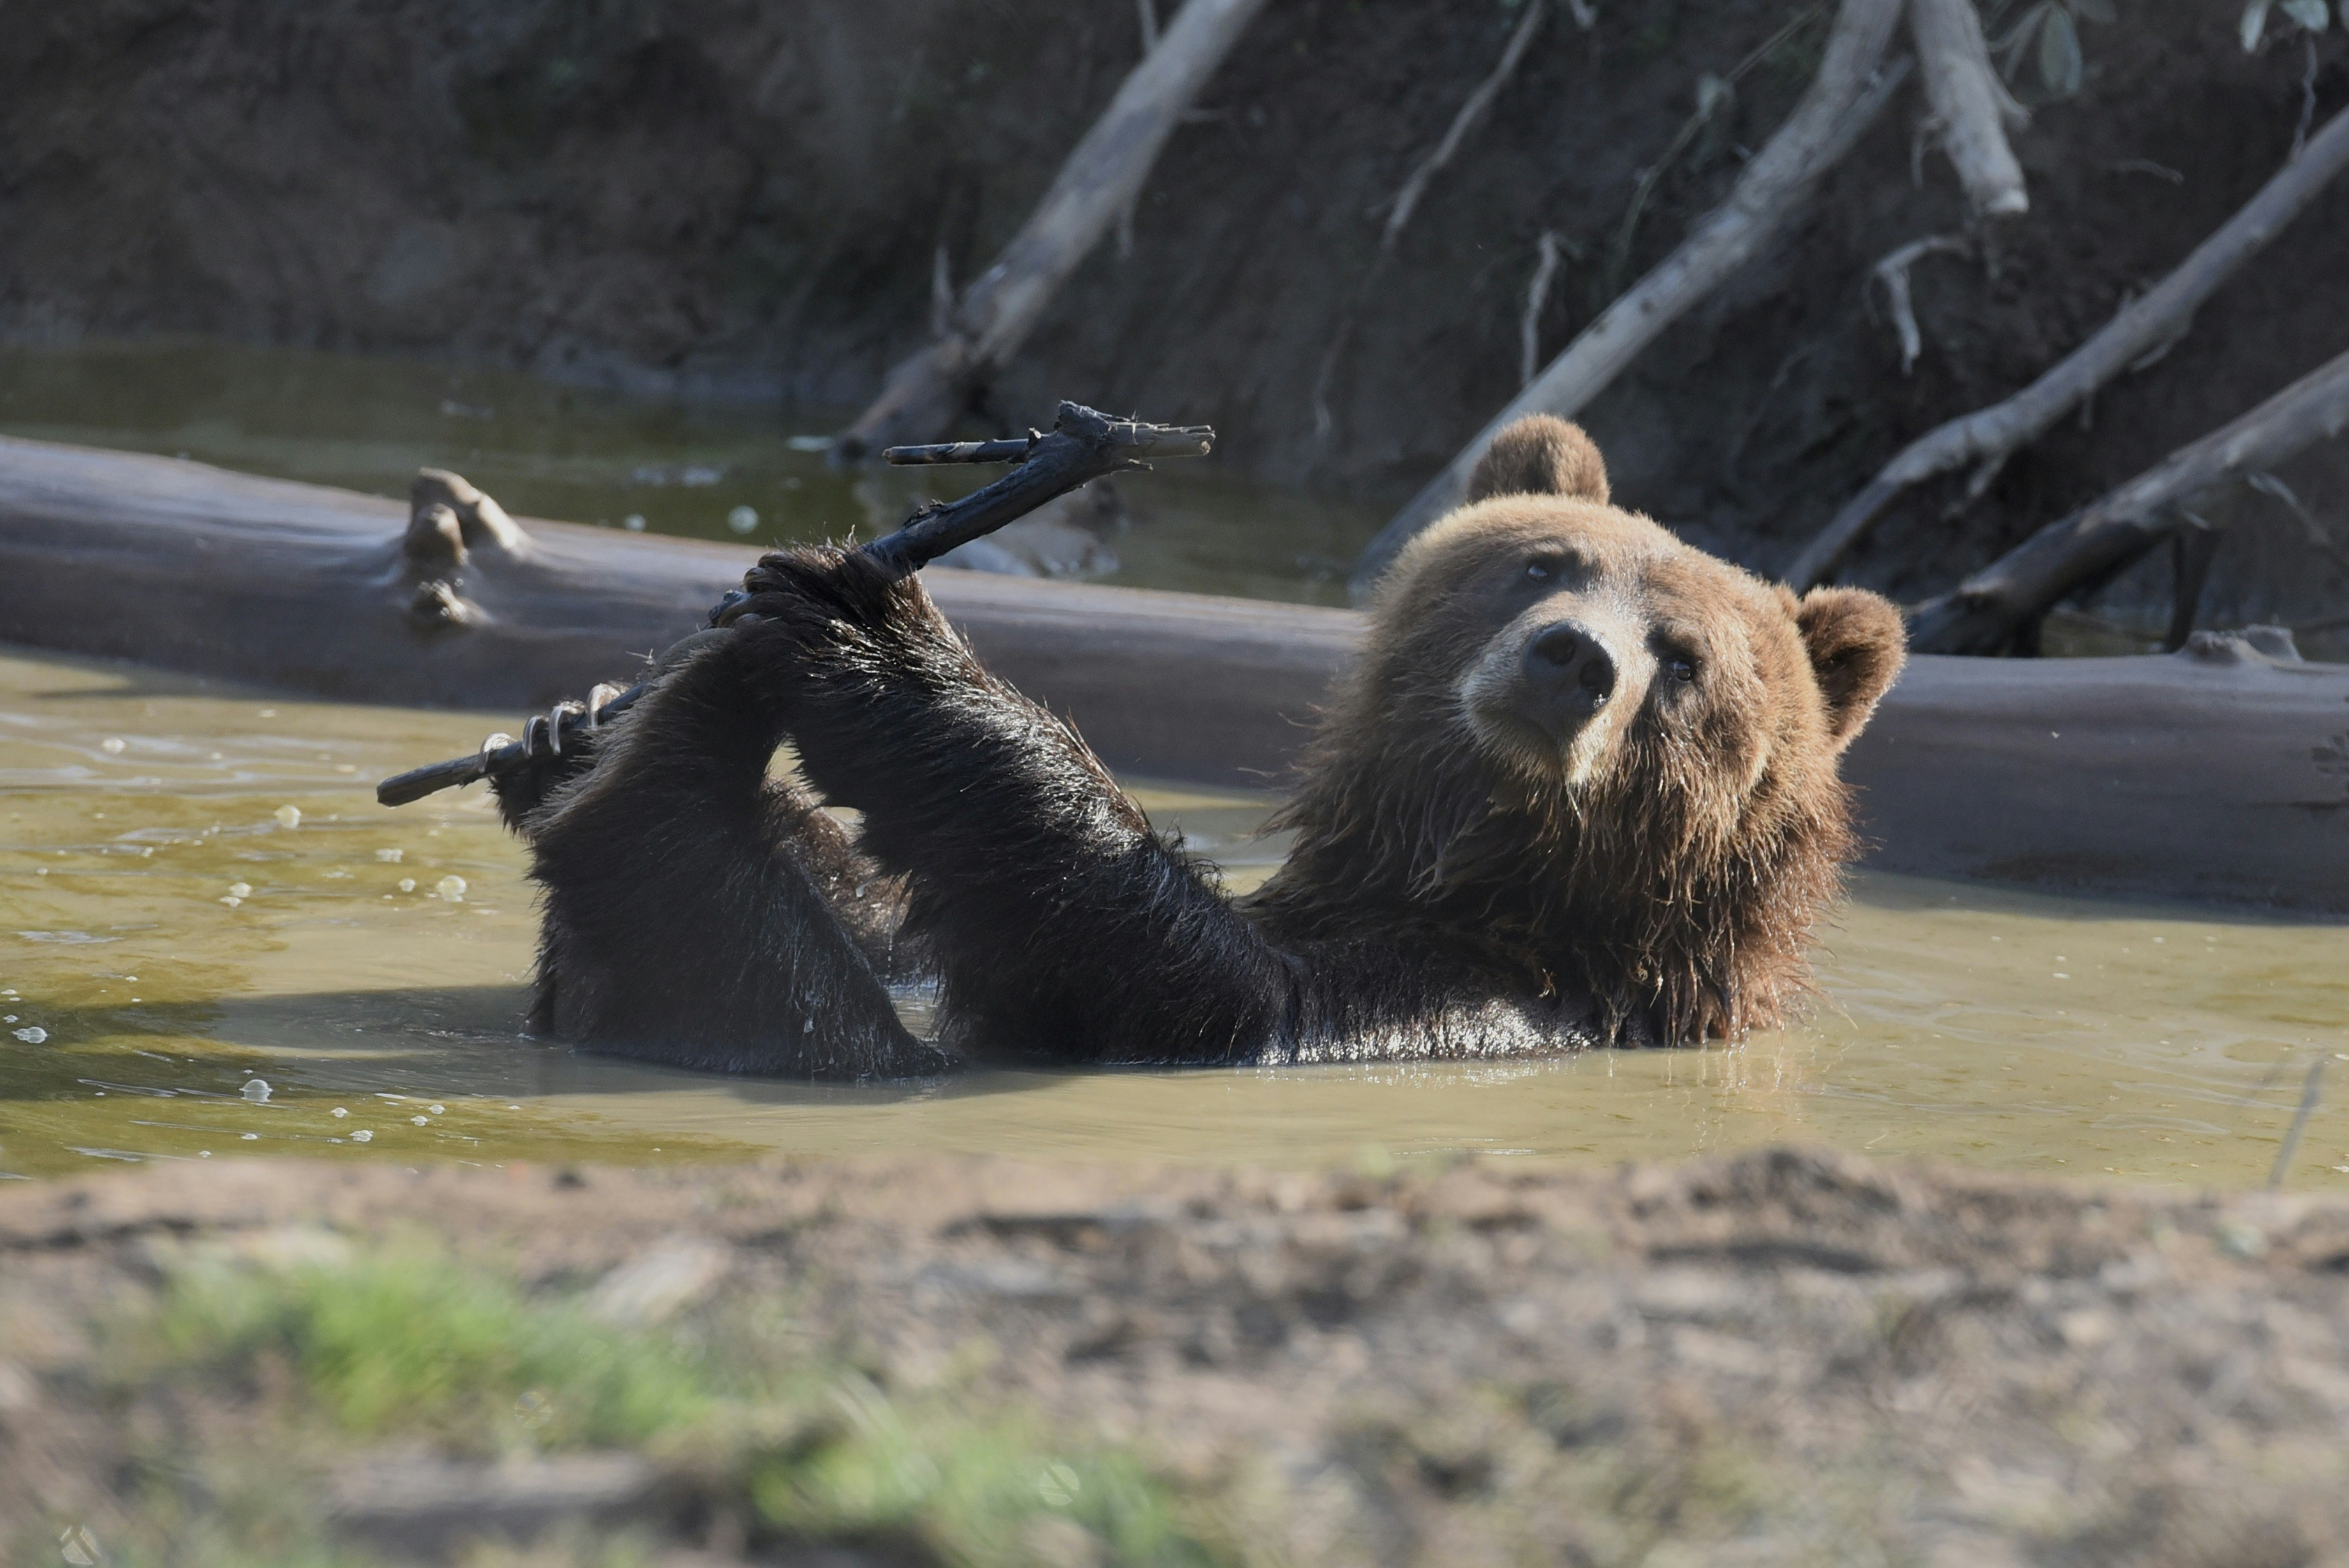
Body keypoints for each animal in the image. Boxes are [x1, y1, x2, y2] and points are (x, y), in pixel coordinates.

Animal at [487, 415, 1906, 1074]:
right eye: (1542, 562)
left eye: (1685, 659)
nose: (1573, 659)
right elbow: (898, 924)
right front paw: (558, 723)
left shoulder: (1500, 997)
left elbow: (1206, 987)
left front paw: (876, 632)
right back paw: (581, 741)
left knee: (720, 936)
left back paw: (676, 745)